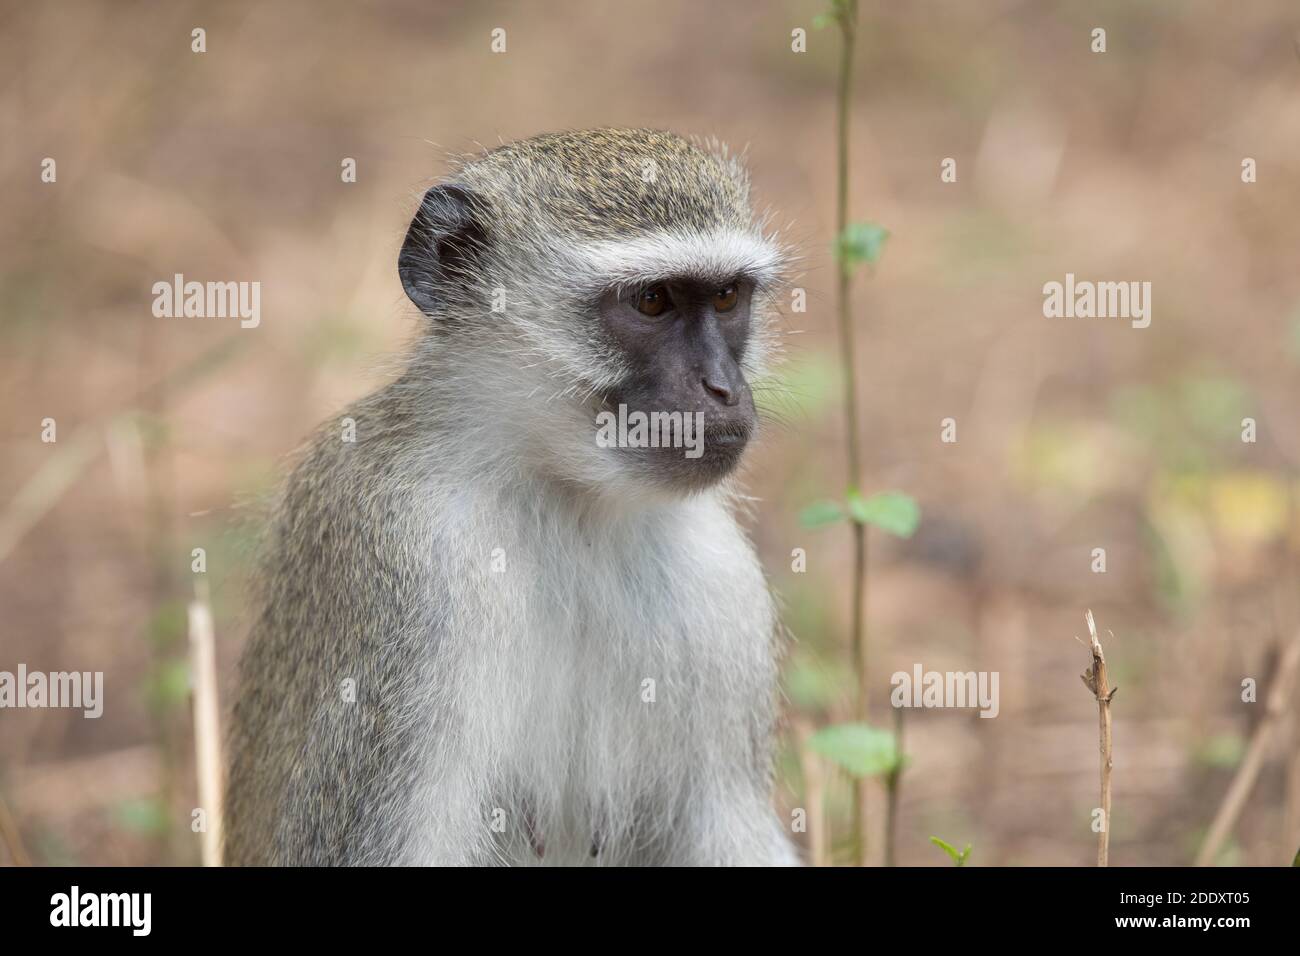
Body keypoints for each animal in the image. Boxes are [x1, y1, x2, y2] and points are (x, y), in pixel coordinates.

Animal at [224, 128, 799, 866]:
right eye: (652, 302)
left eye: (727, 297)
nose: (723, 388)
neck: (566, 496)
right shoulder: (414, 564)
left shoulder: (722, 579)